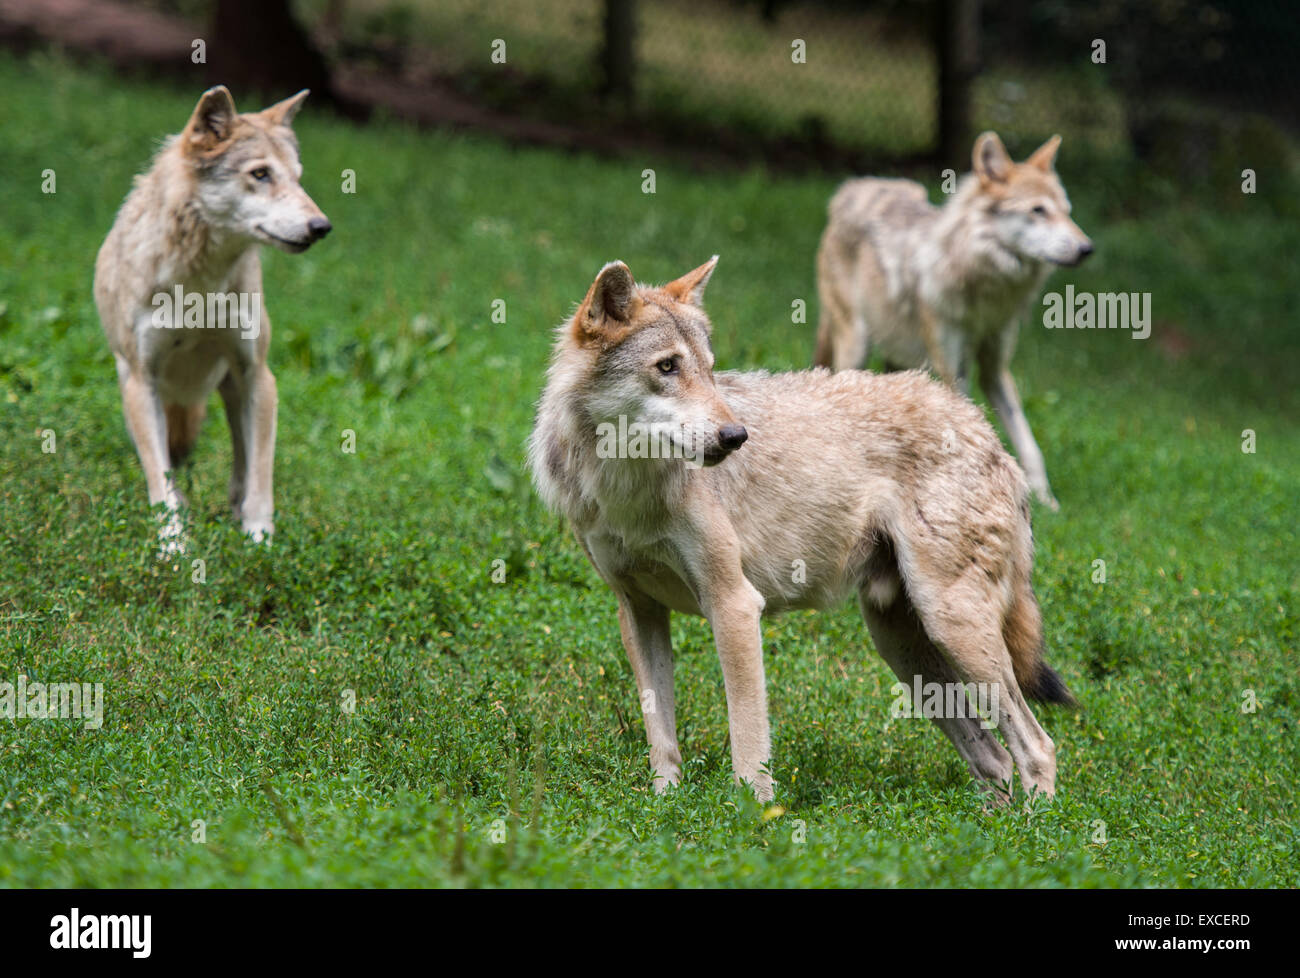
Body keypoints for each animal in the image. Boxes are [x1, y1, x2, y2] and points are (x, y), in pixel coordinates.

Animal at [94, 86, 331, 552]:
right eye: (261, 174)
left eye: (297, 177)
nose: (321, 226)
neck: (199, 284)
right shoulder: (142, 380)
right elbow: (161, 483)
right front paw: (173, 549)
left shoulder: (258, 375)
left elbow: (260, 477)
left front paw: (259, 541)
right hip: (133, 390)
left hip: (233, 388)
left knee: (241, 463)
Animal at [530, 258, 1075, 804]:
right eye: (667, 367)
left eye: (709, 368)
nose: (736, 436)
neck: (626, 485)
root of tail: (985, 430)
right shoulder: (638, 610)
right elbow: (660, 736)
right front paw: (666, 806)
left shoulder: (734, 605)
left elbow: (748, 741)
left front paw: (754, 815)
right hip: (905, 649)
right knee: (995, 760)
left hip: (951, 628)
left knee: (1037, 747)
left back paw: (1040, 825)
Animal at [814, 132, 1093, 509]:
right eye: (1038, 210)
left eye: (1066, 212)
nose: (1086, 248)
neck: (986, 289)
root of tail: (851, 190)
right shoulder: (953, 368)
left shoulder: (995, 369)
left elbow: (1029, 443)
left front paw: (1047, 503)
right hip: (855, 346)